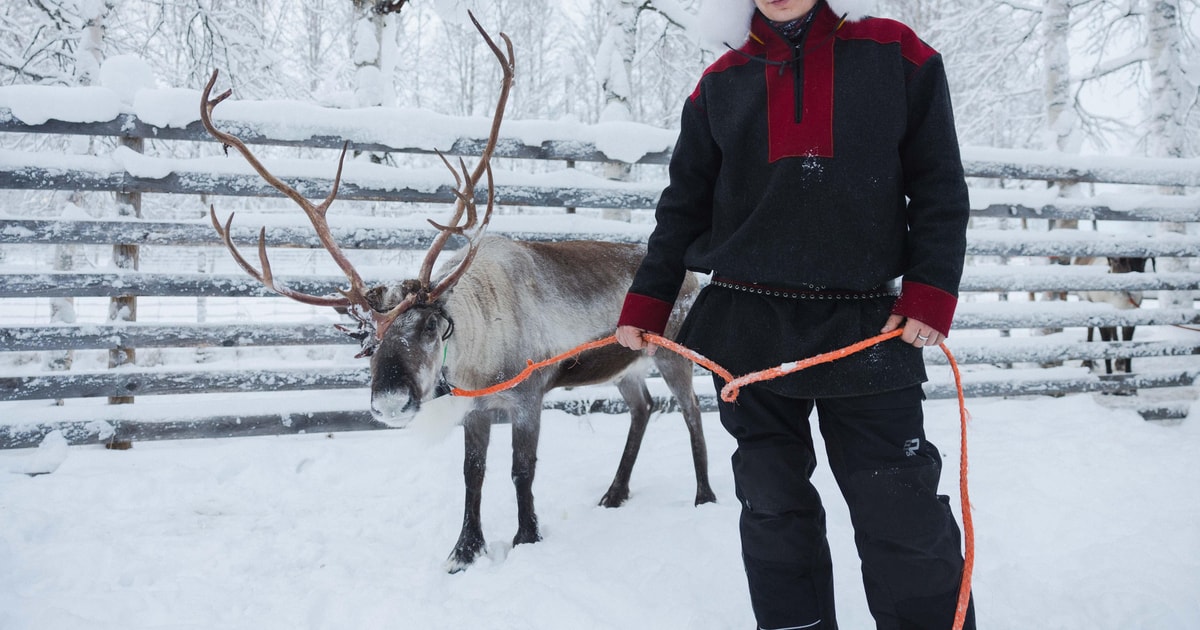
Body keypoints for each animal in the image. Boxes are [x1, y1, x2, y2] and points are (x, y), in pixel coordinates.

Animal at [198, 14, 715, 573]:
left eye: (429, 325)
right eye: (367, 341)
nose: (391, 402)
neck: (479, 355)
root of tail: (693, 277)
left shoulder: (528, 397)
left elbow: (521, 470)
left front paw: (527, 538)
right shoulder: (477, 409)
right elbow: (473, 475)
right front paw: (465, 551)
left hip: (674, 356)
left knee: (690, 413)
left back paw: (704, 496)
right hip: (625, 366)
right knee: (643, 407)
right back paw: (615, 493)